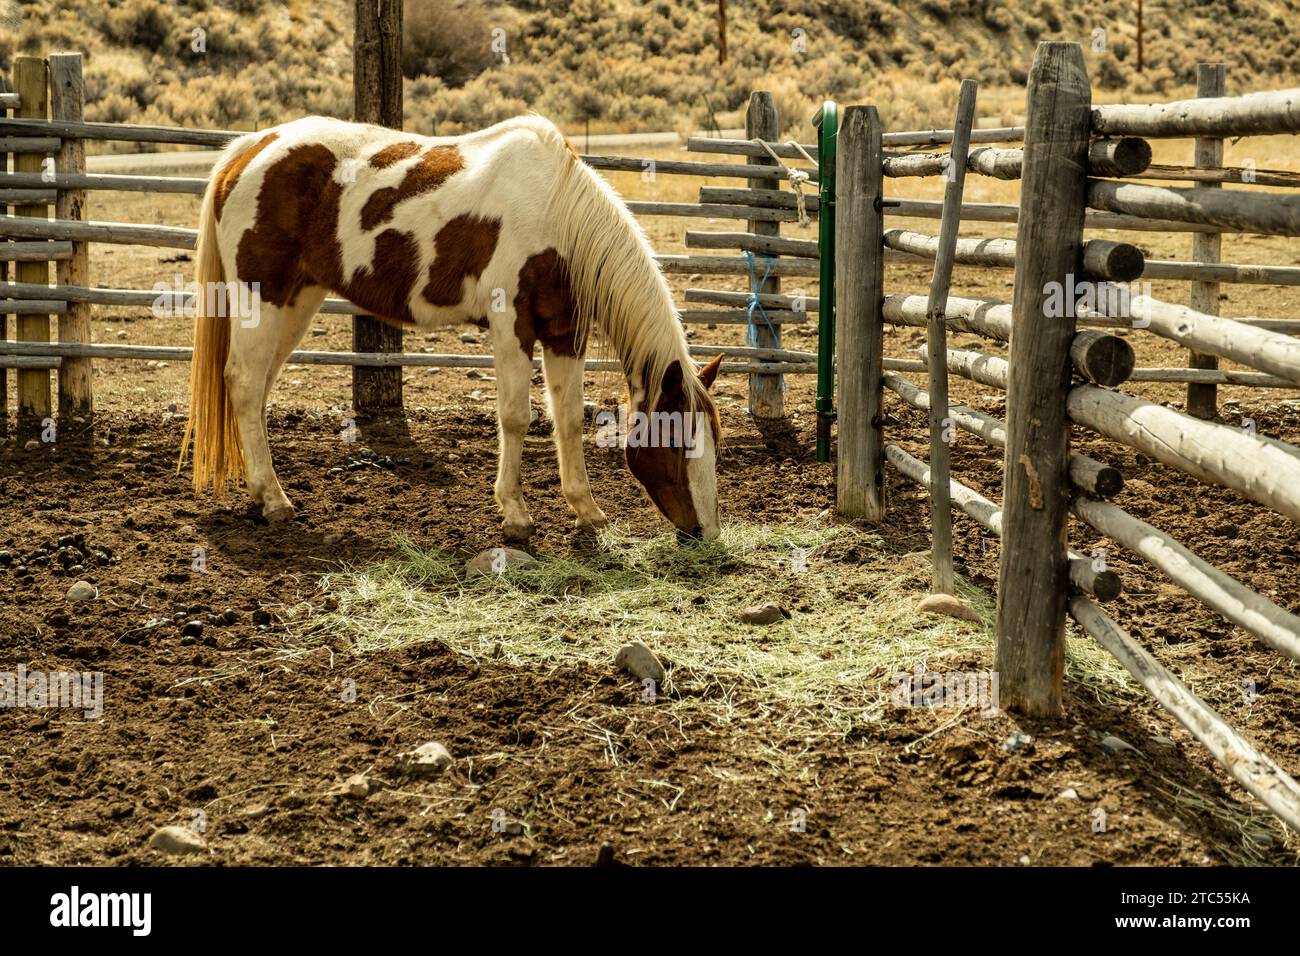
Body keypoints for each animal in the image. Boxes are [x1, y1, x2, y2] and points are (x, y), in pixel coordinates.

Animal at [179, 114, 723, 542]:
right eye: (676, 439)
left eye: (714, 435)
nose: (705, 532)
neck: (557, 215)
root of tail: (251, 148)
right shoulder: (511, 327)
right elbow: (516, 417)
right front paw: (515, 515)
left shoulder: (565, 334)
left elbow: (567, 419)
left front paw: (586, 511)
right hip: (260, 298)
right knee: (245, 385)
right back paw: (276, 502)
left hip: (297, 302)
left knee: (257, 389)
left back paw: (261, 493)